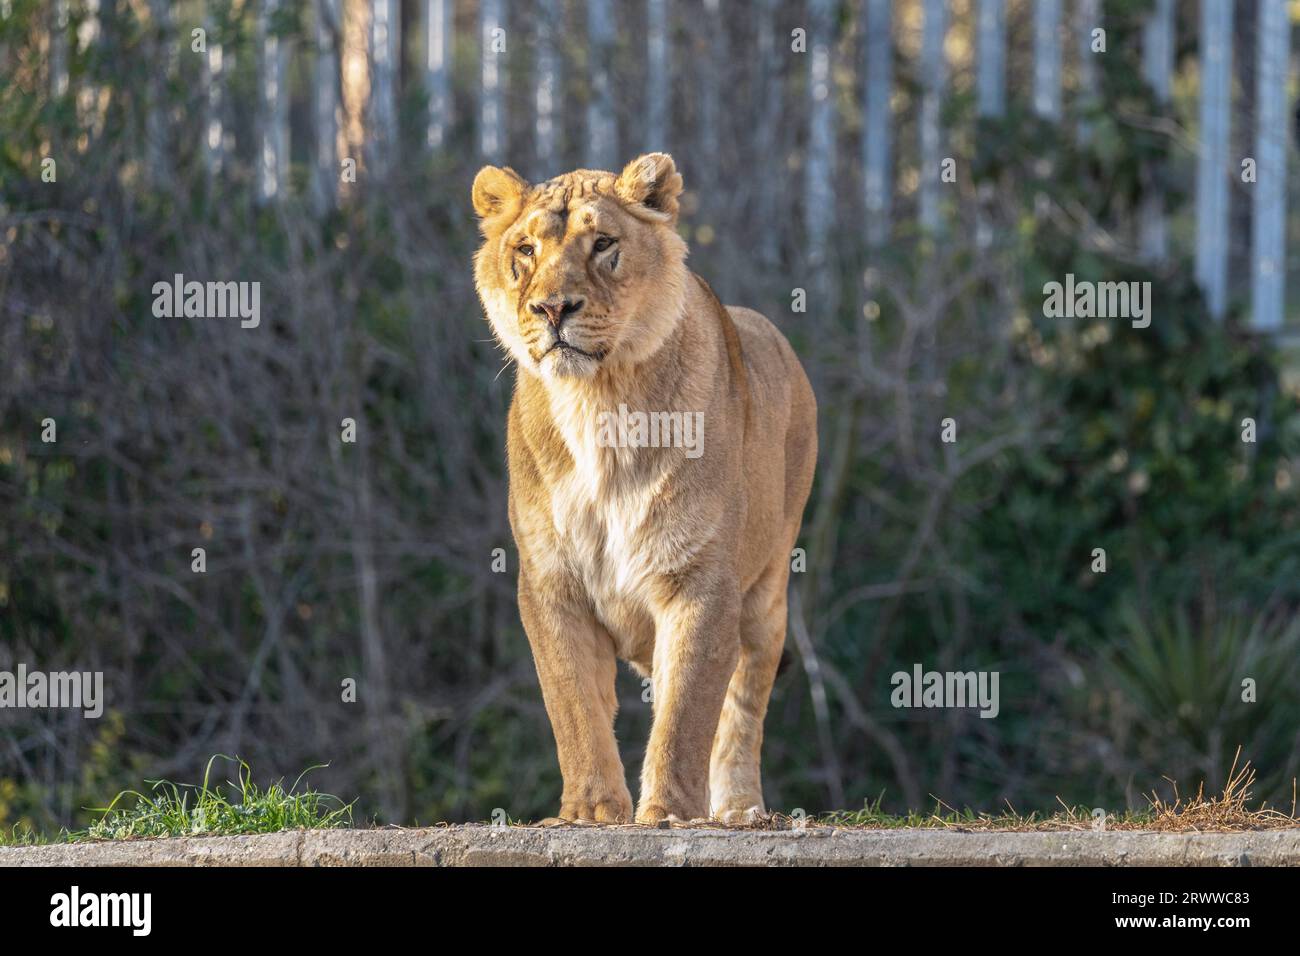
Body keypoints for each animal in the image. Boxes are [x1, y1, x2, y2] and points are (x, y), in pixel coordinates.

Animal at [471, 153, 817, 824]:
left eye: (604, 244)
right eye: (525, 249)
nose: (552, 309)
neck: (598, 404)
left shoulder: (700, 579)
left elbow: (686, 712)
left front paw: (670, 813)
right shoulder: (550, 583)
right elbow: (573, 706)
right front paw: (589, 811)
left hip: (767, 594)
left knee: (742, 708)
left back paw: (738, 809)